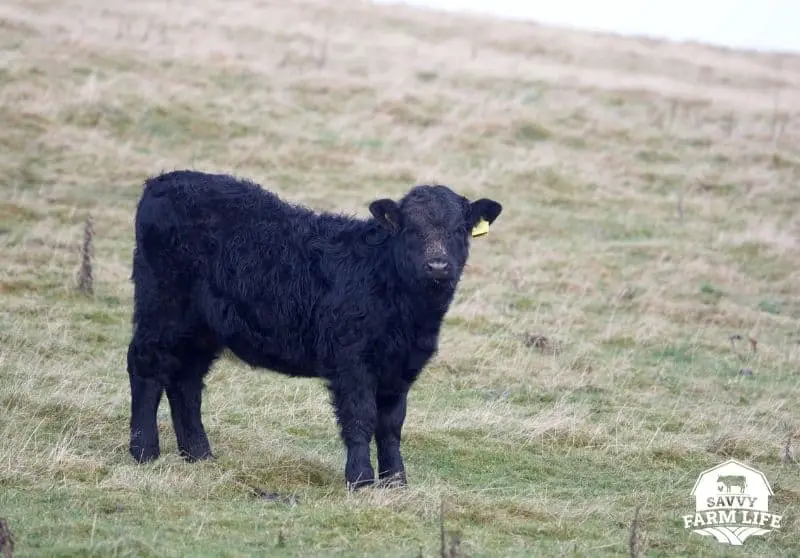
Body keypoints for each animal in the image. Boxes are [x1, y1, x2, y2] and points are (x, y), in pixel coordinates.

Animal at [126, 169, 503, 490]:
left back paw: (199, 455)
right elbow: (360, 417)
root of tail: (162, 181)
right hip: (162, 306)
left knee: (186, 381)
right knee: (145, 365)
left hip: (201, 328)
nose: (437, 265)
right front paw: (360, 480)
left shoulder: (401, 367)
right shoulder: (351, 359)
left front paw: (396, 482)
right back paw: (144, 452)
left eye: (459, 229)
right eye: (411, 229)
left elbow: (391, 425)